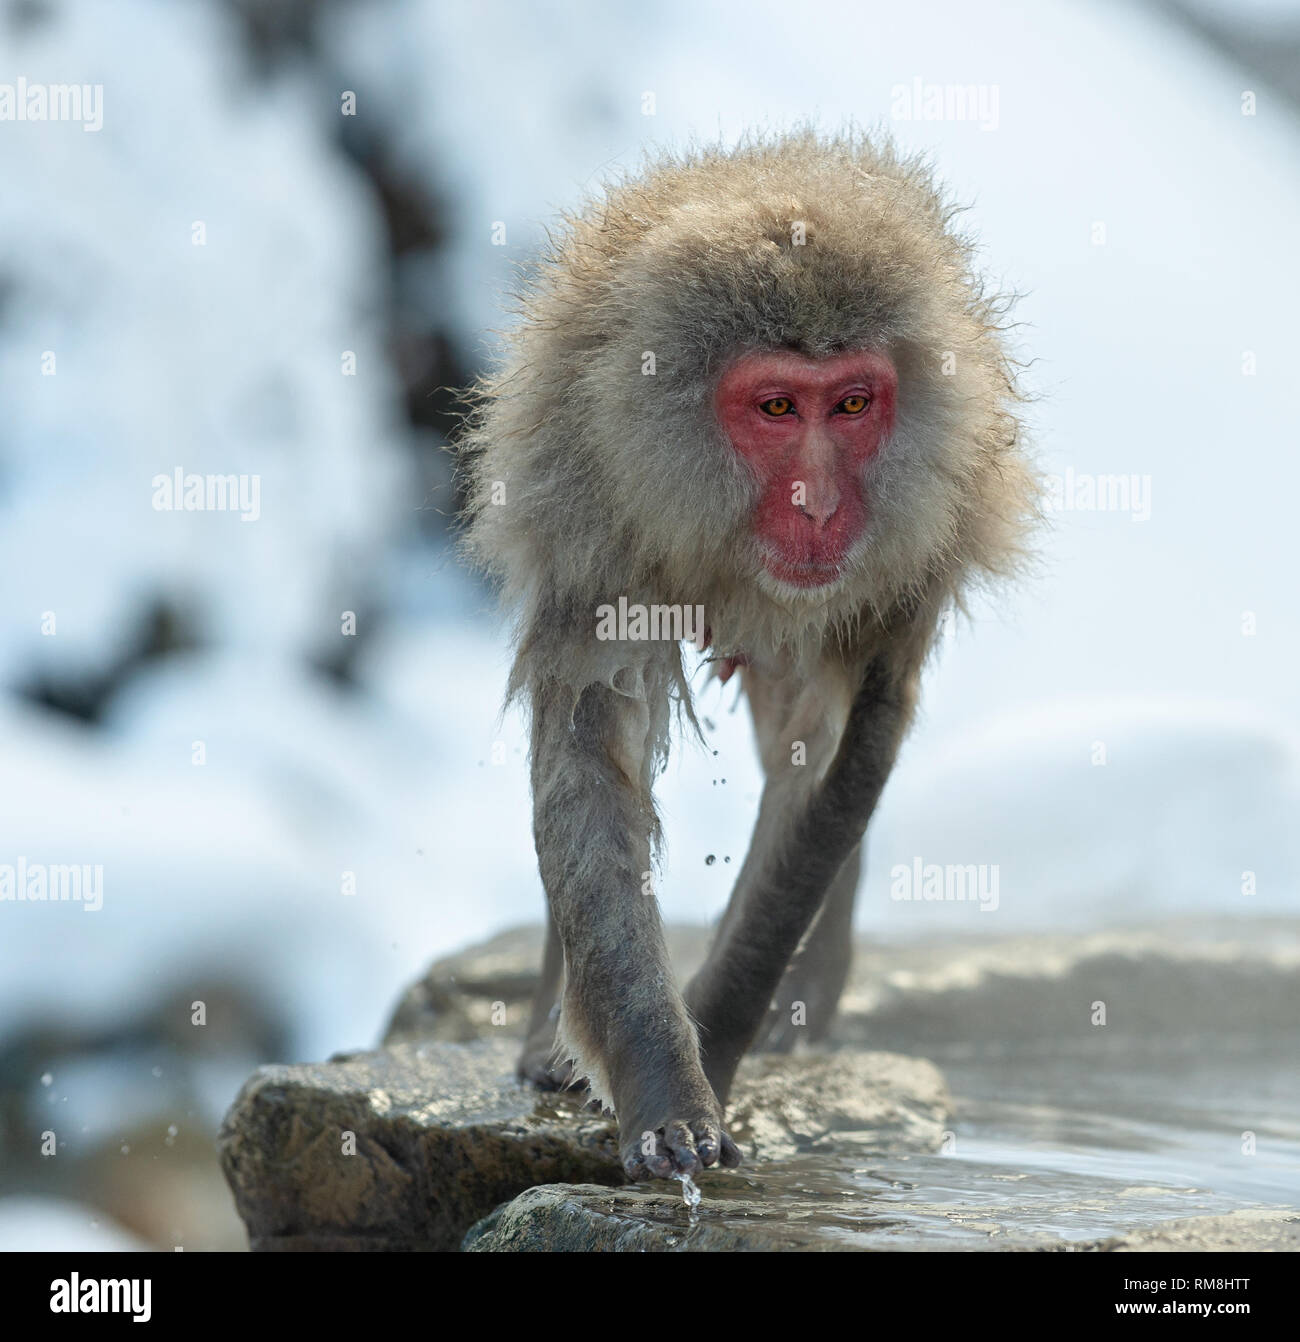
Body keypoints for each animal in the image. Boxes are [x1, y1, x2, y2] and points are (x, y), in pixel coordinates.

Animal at [456, 129, 1037, 1182]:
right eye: (775, 408)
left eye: (851, 404)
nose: (819, 504)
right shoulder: (593, 512)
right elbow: (592, 755)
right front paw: (663, 1085)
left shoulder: (905, 559)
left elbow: (836, 763)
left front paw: (719, 1040)